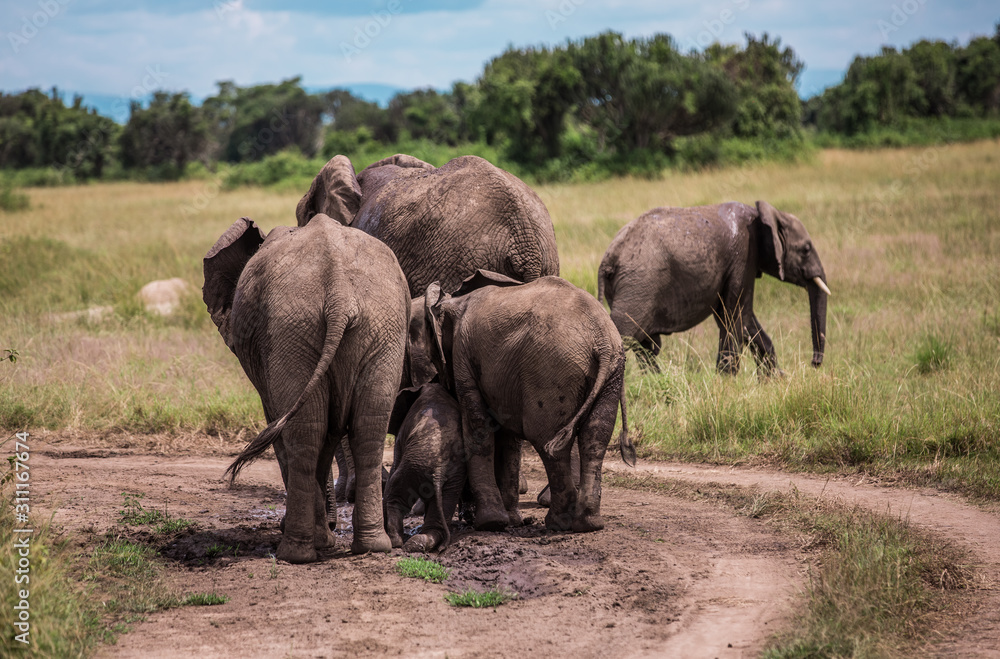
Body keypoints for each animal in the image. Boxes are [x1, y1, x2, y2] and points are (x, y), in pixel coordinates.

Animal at [203, 214, 409, 563]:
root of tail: (339, 292)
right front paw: (325, 538)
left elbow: (282, 430)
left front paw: (316, 538)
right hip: (382, 328)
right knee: (367, 428)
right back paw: (372, 546)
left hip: (292, 332)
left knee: (304, 433)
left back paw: (294, 553)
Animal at [383, 383, 466, 553]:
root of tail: (439, 471)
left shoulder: (402, 433)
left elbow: (395, 463)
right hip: (454, 477)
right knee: (446, 500)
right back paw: (421, 542)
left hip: (413, 466)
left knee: (396, 490)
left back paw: (397, 542)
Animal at [417, 270, 636, 534]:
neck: (454, 301)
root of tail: (602, 341)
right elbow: (507, 437)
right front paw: (510, 521)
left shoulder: (463, 353)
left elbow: (478, 427)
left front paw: (490, 523)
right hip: (612, 372)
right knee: (595, 438)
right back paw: (589, 523)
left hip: (552, 368)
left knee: (546, 440)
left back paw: (559, 523)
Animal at [598, 201, 831, 376]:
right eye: (806, 249)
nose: (814, 363)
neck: (762, 214)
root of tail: (607, 258)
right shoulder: (744, 256)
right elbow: (737, 314)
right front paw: (727, 380)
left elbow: (740, 320)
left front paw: (774, 380)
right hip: (638, 285)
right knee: (625, 336)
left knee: (645, 346)